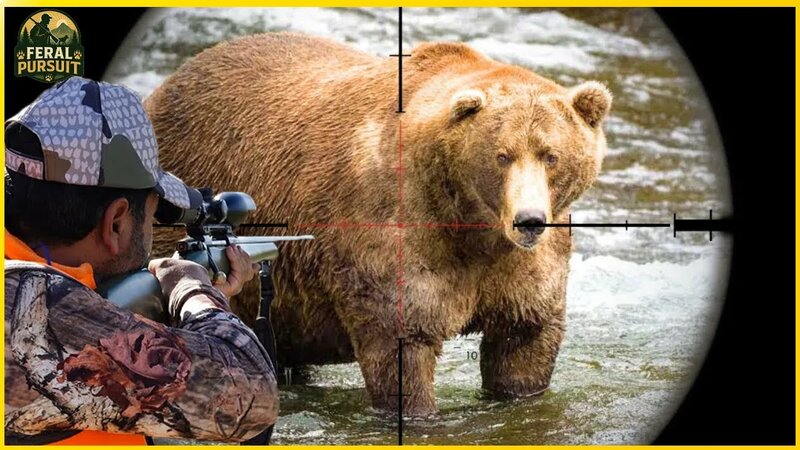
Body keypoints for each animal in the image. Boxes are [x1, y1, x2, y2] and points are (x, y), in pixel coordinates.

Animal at [144, 32, 611, 416]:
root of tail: (163, 88)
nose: (529, 220)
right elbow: (400, 343)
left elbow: (525, 342)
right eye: (502, 155)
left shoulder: (526, 268)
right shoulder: (395, 227)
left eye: (551, 155)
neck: (470, 222)